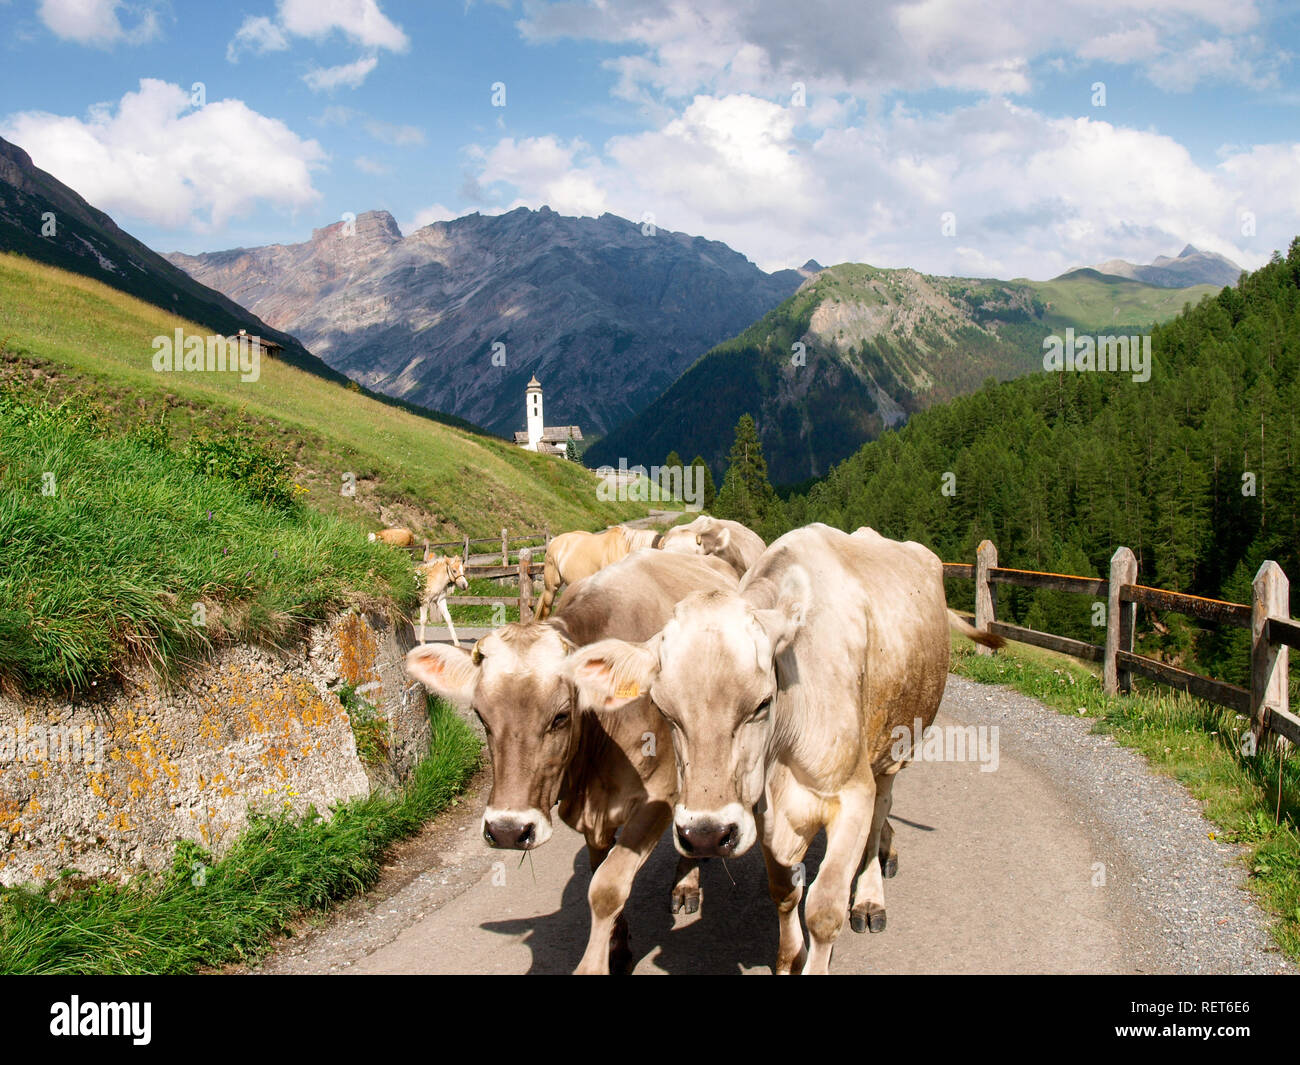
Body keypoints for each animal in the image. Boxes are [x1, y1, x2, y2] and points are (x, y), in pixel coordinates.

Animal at [406, 548, 739, 974]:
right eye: (481, 717)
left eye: (561, 716)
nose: (508, 831)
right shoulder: (592, 816)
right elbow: (598, 874)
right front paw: (617, 945)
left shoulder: (659, 796)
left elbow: (608, 886)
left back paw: (686, 884)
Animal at [566, 523, 1004, 974]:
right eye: (664, 709)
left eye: (761, 703)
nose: (705, 835)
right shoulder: (763, 809)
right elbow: (784, 891)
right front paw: (790, 957)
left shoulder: (852, 795)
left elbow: (824, 909)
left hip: (893, 749)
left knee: (880, 812)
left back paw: (869, 897)